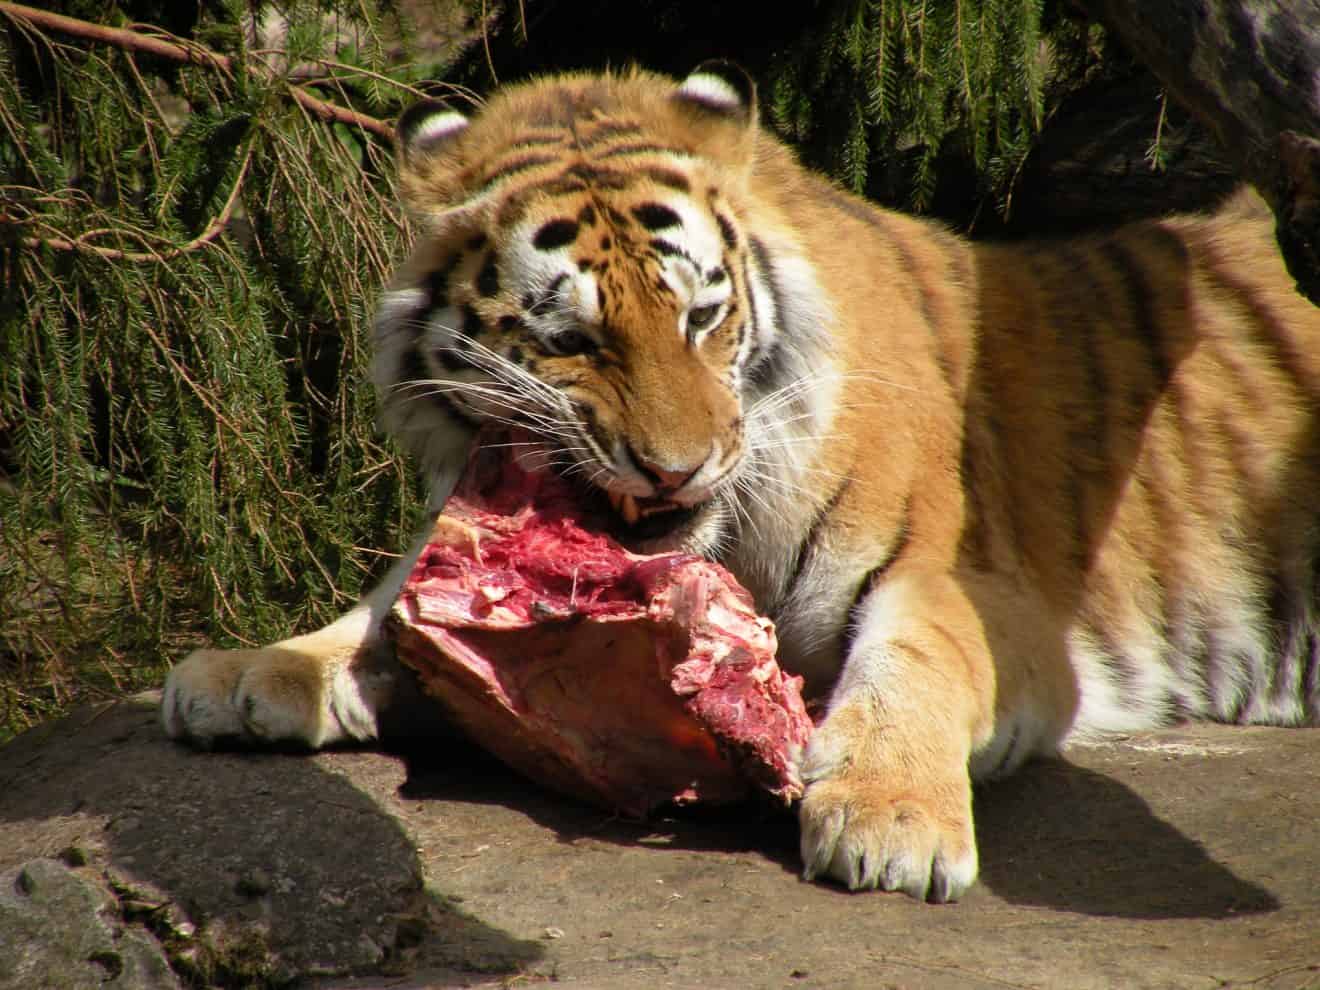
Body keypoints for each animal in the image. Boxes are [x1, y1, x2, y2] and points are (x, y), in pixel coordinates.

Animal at [161, 62, 1320, 903]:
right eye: (574, 340)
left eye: (703, 318)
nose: (675, 465)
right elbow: (381, 616)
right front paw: (250, 672)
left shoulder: (972, 589)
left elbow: (915, 664)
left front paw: (889, 820)